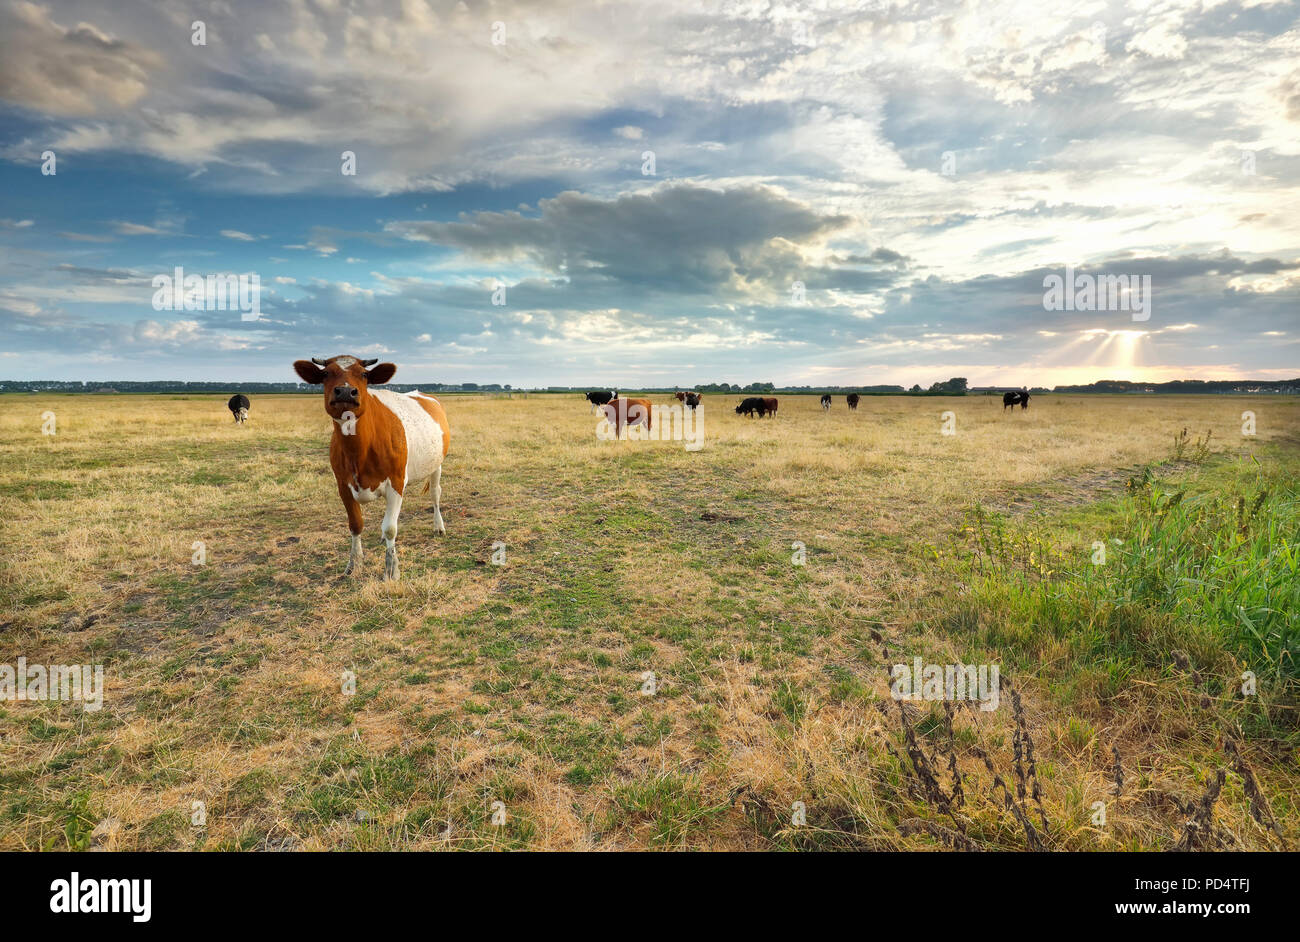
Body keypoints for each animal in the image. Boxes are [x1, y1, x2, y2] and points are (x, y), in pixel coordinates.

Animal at [292, 355, 450, 581]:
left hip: (437, 464)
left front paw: (391, 569)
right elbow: (356, 525)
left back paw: (439, 527)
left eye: (364, 374)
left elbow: (391, 527)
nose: (346, 391)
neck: (358, 451)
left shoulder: (396, 482)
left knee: (435, 494)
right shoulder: (343, 485)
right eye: (326, 374)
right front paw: (354, 564)